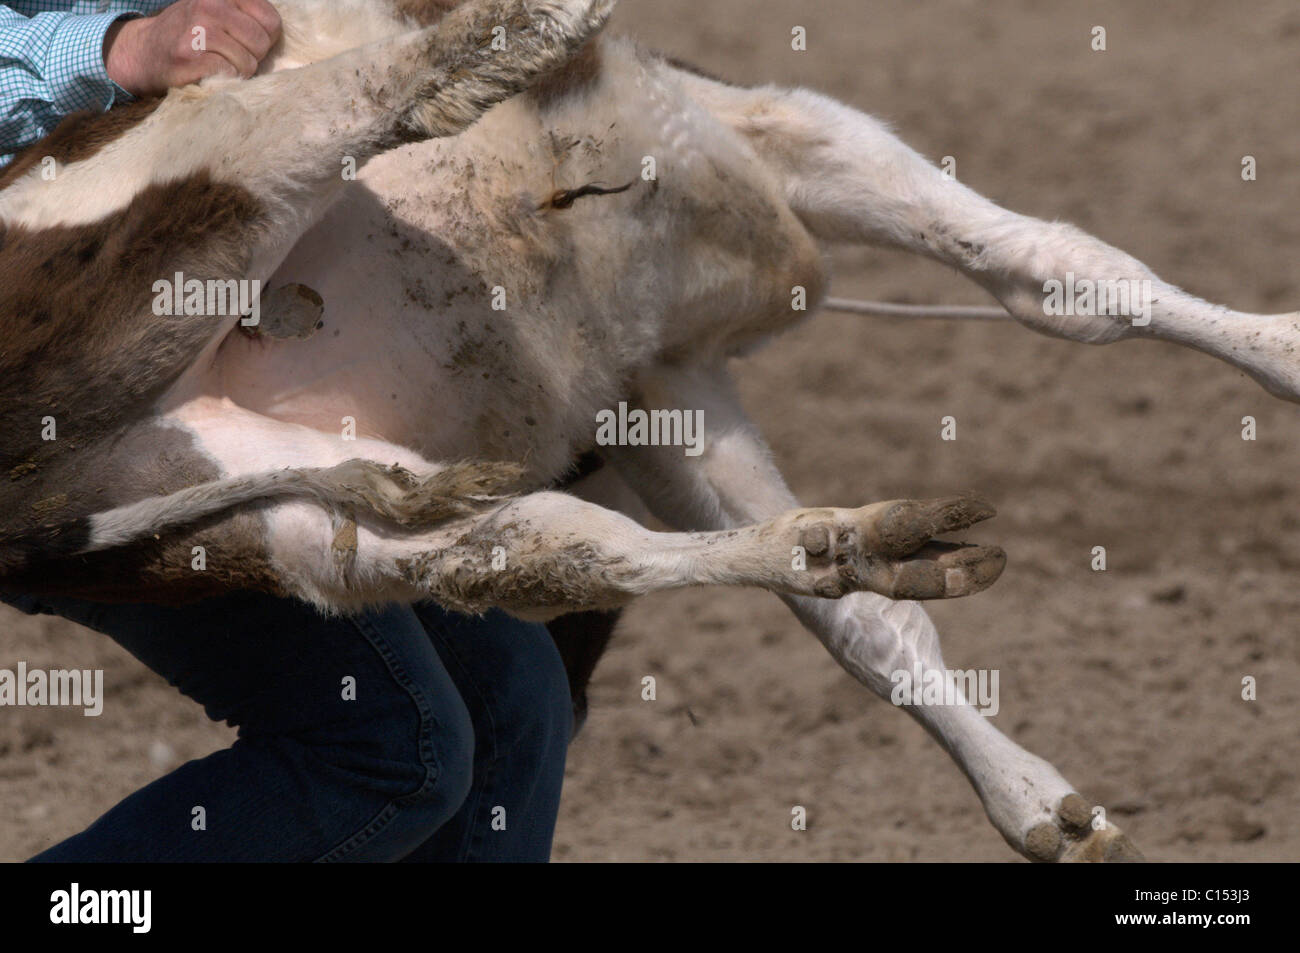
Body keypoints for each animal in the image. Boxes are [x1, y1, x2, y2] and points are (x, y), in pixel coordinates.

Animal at [2, 0, 1295, 861]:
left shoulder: (666, 358)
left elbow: (1062, 280)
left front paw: (1025, 791)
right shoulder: (751, 139)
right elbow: (1066, 276)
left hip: (274, 517)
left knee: (548, 557)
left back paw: (855, 541)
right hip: (210, 160)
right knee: (372, 84)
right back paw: (519, 28)